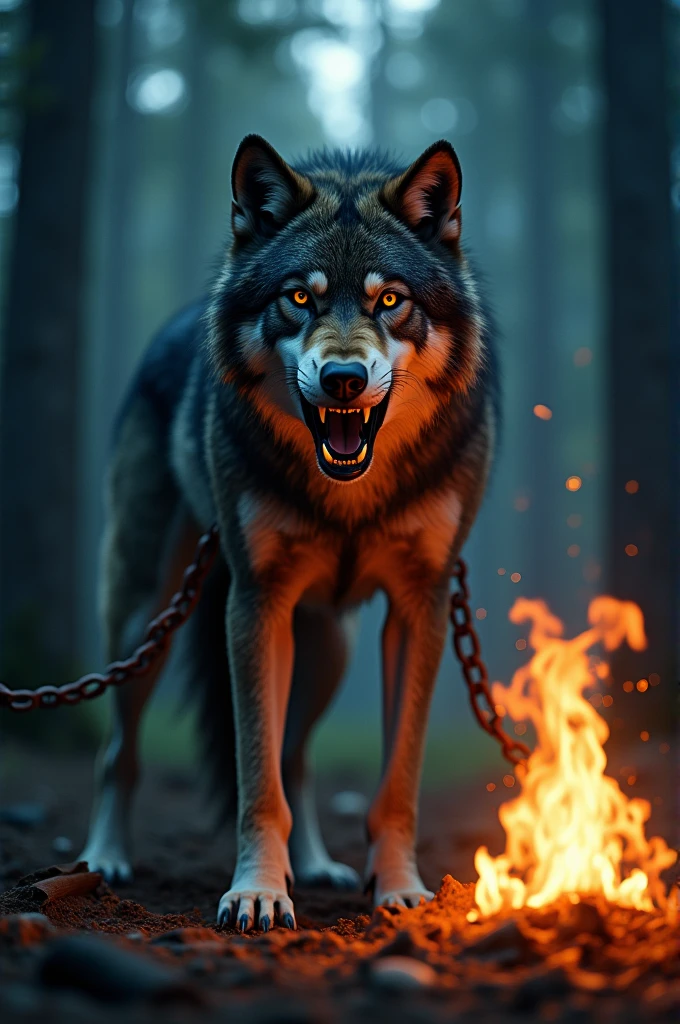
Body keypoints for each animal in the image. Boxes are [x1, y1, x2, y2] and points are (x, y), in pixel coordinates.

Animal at [80, 135, 497, 932]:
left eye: (390, 300)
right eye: (299, 298)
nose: (342, 378)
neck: (349, 494)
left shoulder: (420, 608)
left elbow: (395, 783)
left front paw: (400, 890)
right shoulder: (255, 604)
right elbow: (257, 777)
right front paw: (257, 892)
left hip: (329, 645)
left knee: (299, 755)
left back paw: (318, 864)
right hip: (144, 622)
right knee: (120, 751)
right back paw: (103, 858)